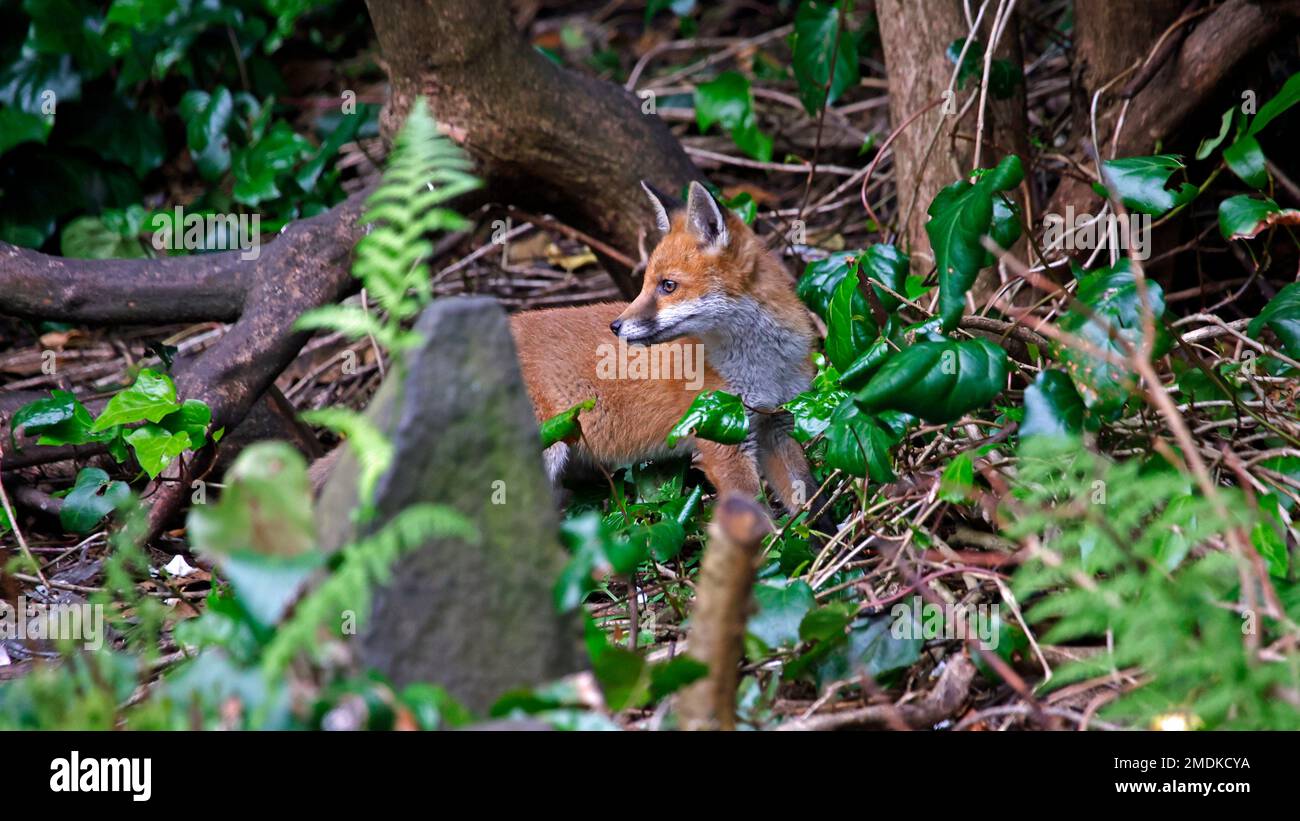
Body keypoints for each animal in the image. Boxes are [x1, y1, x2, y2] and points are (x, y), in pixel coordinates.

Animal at [510, 180, 832, 532]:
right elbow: (759, 526)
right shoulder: (722, 436)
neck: (764, 368)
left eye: (667, 285)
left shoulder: (777, 424)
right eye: (645, 284)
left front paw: (825, 541)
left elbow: (810, 501)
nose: (616, 326)